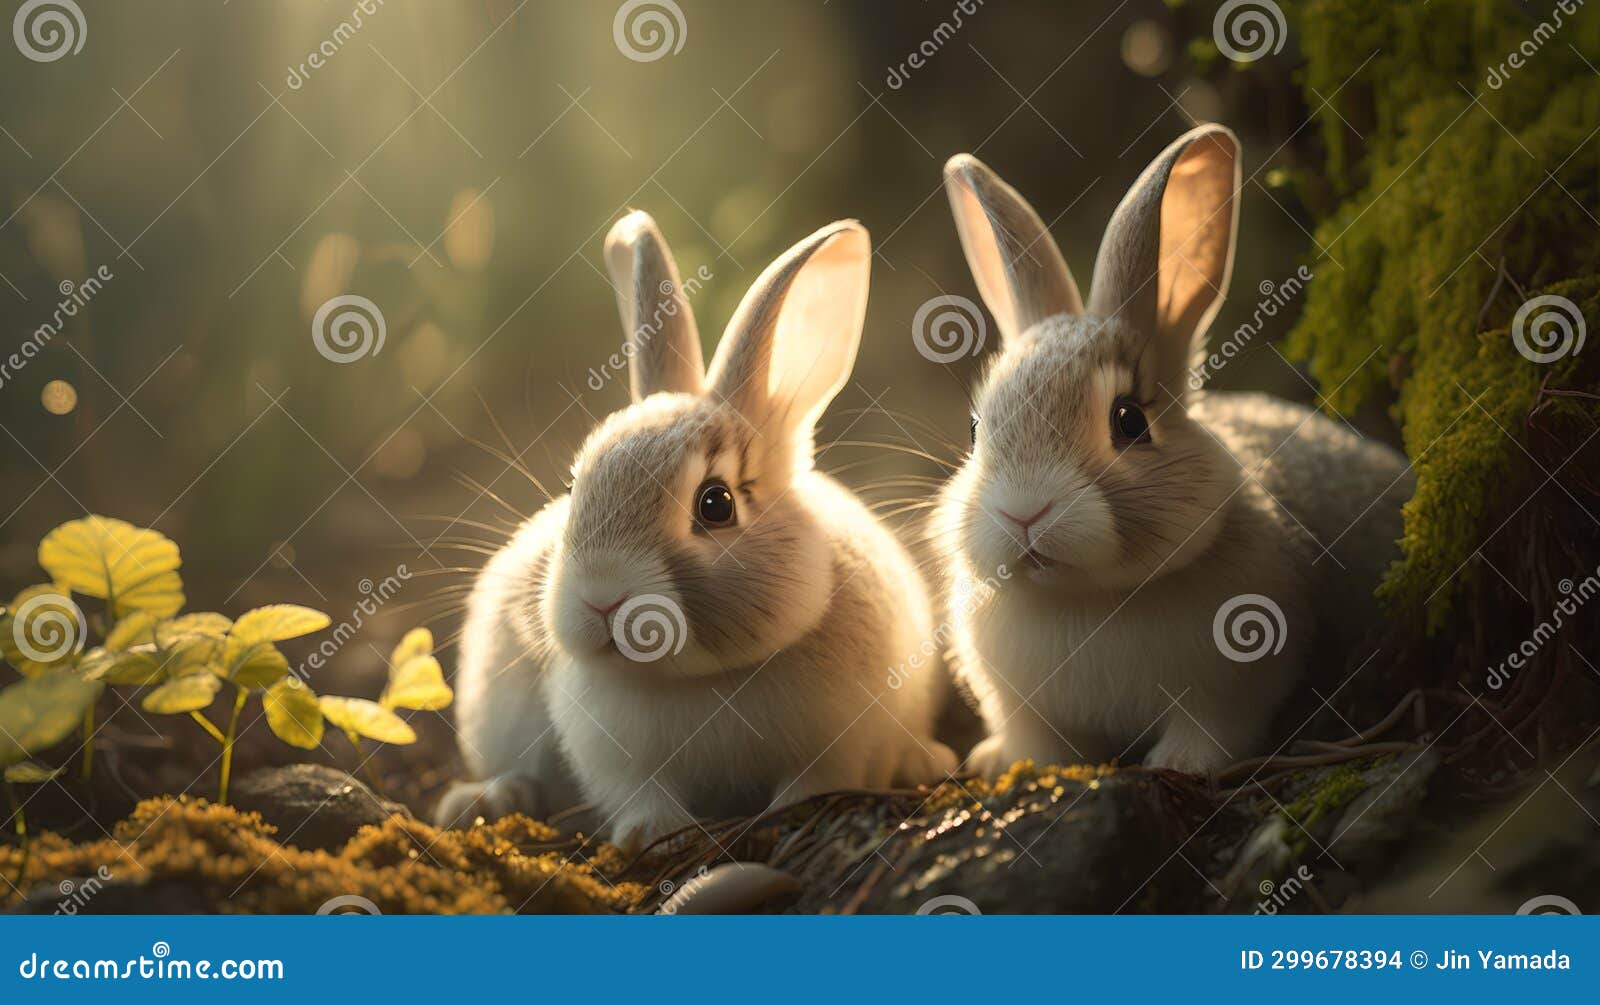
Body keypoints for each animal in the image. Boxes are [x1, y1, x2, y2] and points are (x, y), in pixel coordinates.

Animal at [436, 211, 956, 851]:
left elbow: (819, 776)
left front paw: (798, 808)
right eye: (575, 486)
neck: (704, 681)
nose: (601, 597)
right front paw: (652, 833)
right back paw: (487, 799)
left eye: (716, 504)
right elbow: (640, 794)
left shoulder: (843, 739)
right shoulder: (617, 760)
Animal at [932, 124, 1413, 778]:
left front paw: (1179, 766)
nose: (1024, 513)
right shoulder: (1026, 710)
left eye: (1129, 421)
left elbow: (1210, 732)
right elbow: (1043, 746)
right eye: (976, 430)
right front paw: (1009, 764)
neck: (1090, 601)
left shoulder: (1227, 694)